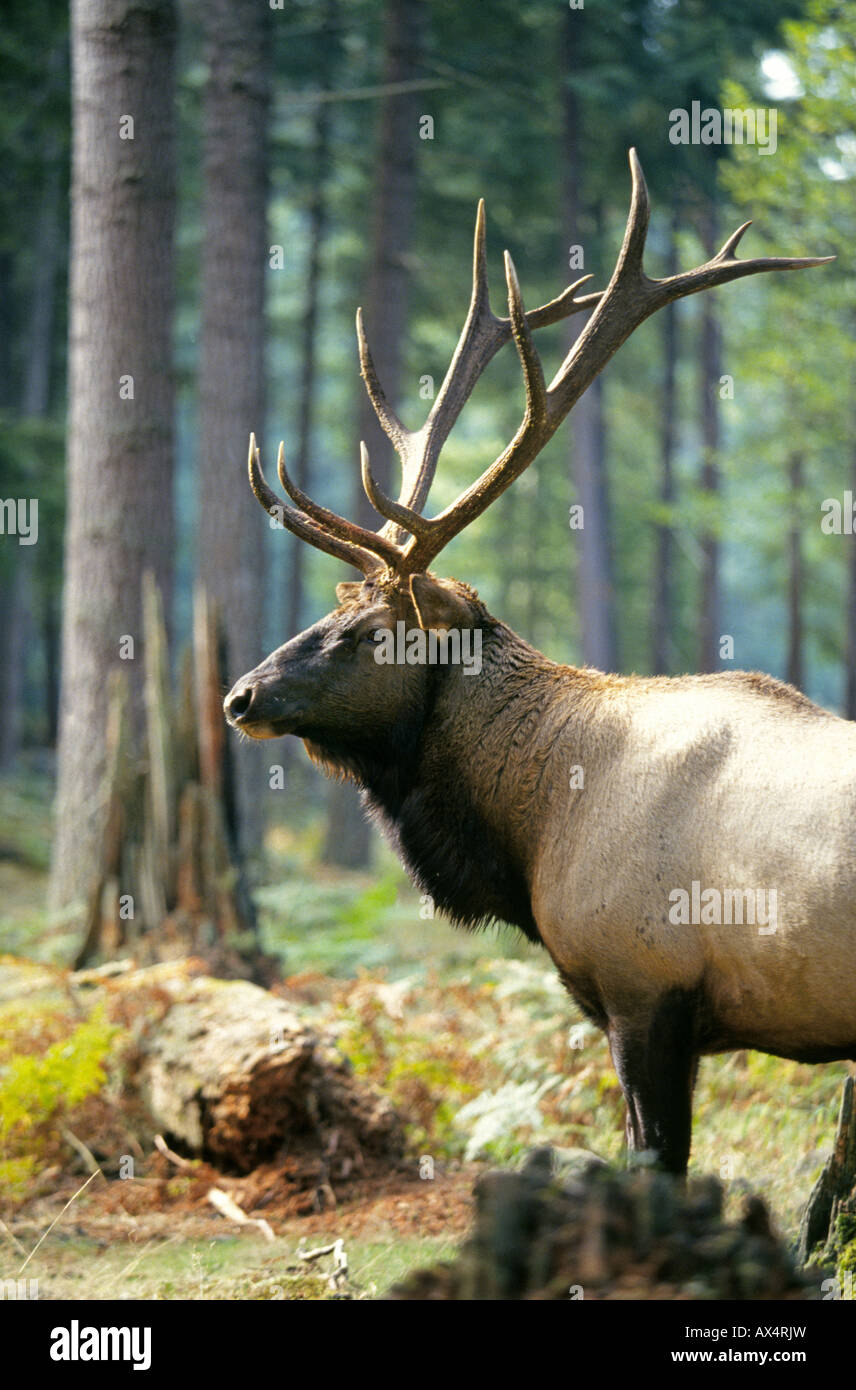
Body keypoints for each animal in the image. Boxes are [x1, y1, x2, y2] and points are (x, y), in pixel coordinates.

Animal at [224, 151, 853, 1176]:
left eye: (367, 631)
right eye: (332, 608)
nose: (241, 696)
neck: (533, 831)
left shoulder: (645, 984)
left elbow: (655, 1164)